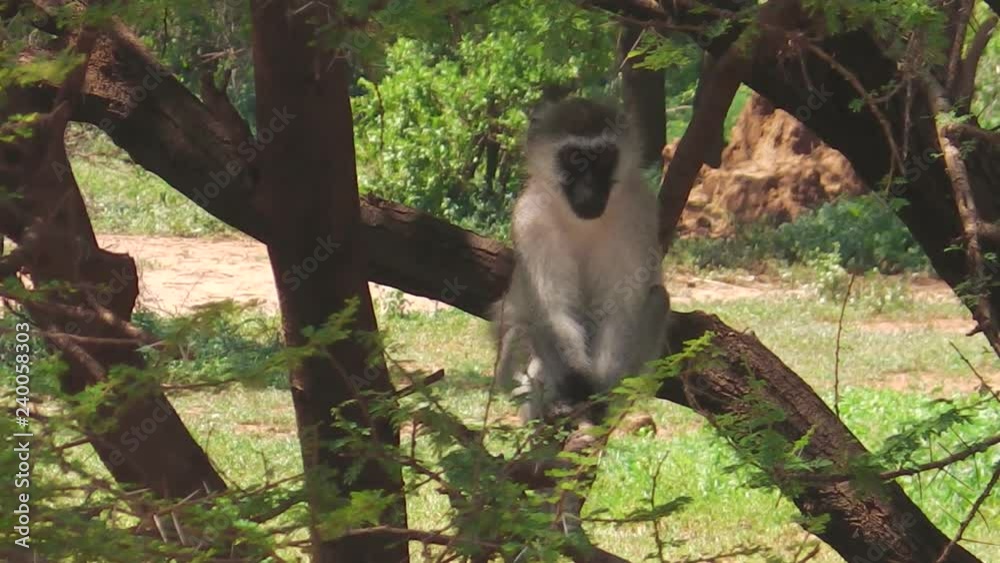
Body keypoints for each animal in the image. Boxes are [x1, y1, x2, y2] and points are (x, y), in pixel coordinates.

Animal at [492, 97, 670, 423]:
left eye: (604, 157)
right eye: (576, 158)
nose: (590, 188)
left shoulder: (639, 213)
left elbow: (620, 307)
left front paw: (596, 394)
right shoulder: (530, 219)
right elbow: (555, 309)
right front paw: (576, 388)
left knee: (657, 298)